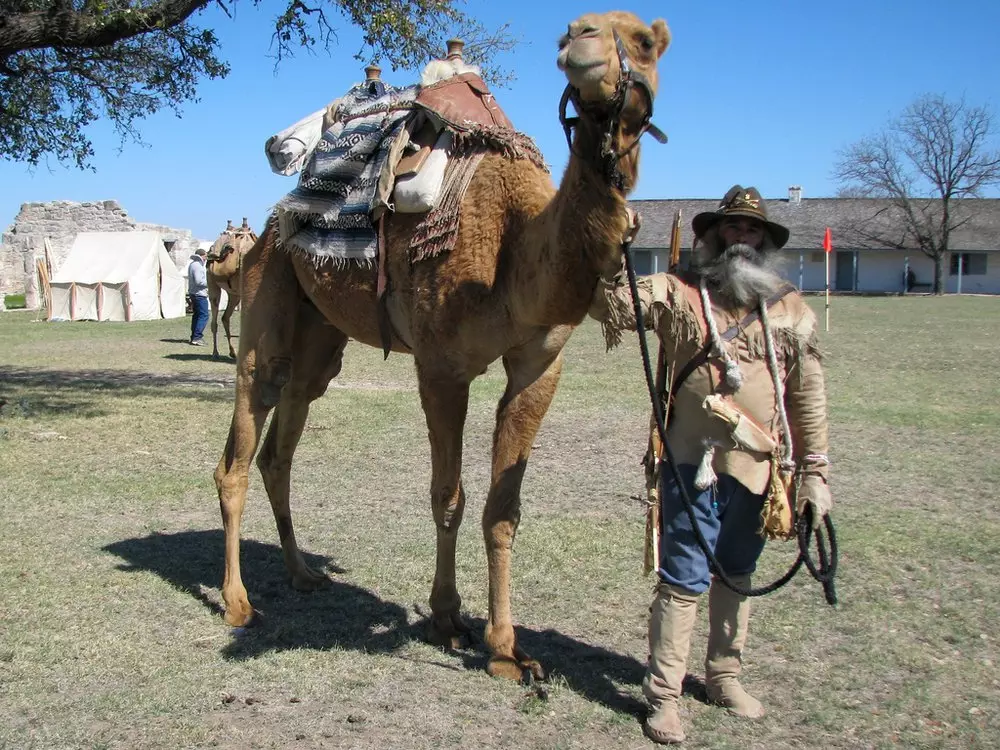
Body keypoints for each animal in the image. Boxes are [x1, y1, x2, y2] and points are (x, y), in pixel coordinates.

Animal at [203, 219, 256, 360]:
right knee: (215, 318)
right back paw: (215, 353)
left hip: (234, 294)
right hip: (212, 283)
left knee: (225, 317)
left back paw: (233, 352)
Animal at [214, 10, 668, 680]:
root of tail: (268, 222)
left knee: (282, 444)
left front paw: (506, 650)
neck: (515, 248)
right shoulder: (442, 368)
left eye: (645, 42)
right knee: (244, 438)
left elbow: (504, 509)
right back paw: (238, 602)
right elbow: (448, 497)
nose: (581, 41)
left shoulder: (540, 365)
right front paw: (448, 619)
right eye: (572, 32)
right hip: (268, 290)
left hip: (320, 336)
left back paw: (302, 574)